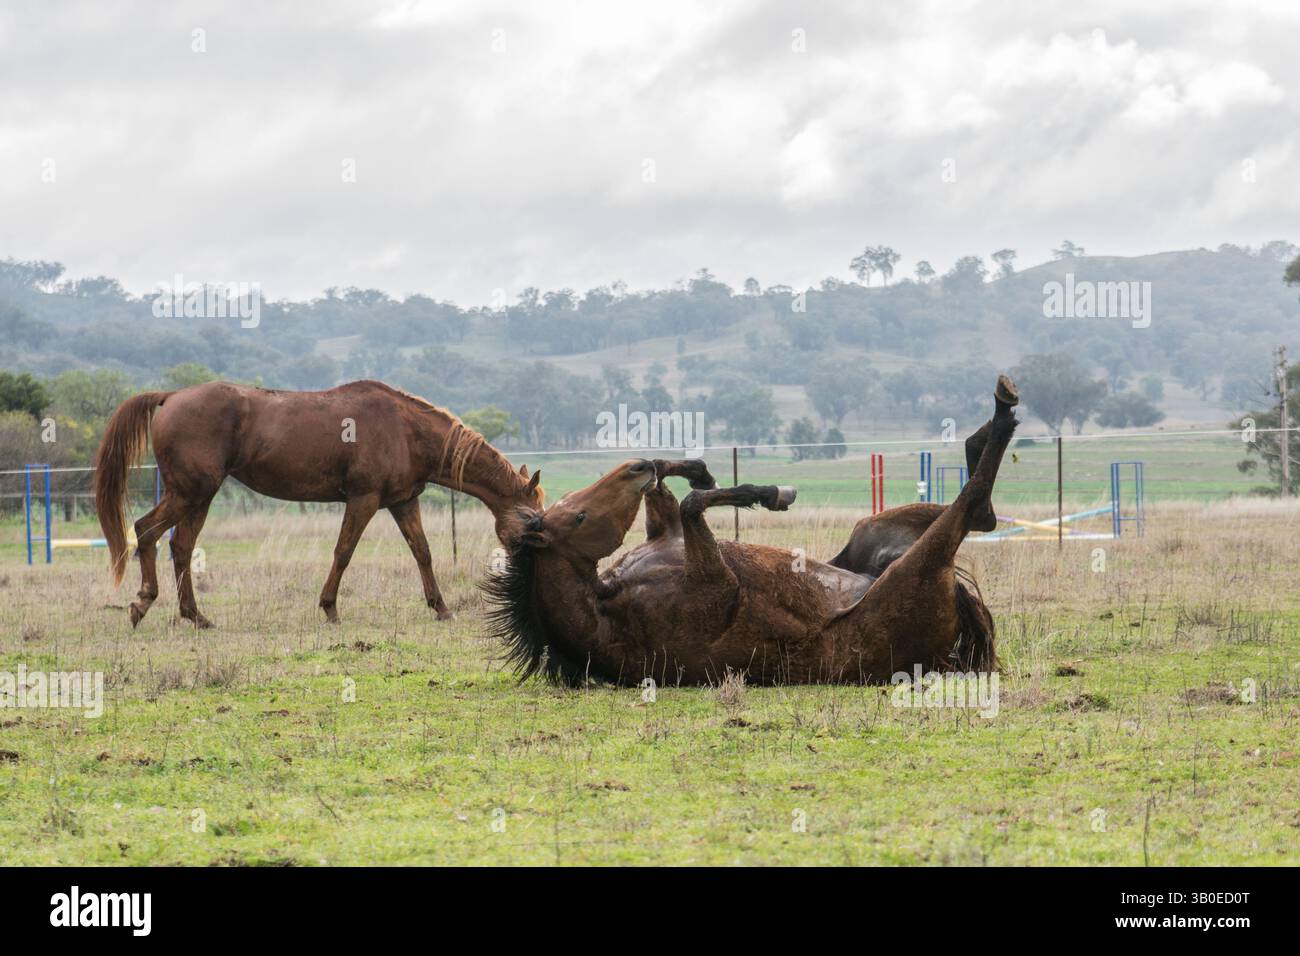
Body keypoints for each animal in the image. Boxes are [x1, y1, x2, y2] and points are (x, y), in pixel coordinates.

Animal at [93, 379, 543, 628]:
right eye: (533, 522)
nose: (525, 576)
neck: (405, 428)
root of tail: (170, 397)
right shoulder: (363, 500)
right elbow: (344, 552)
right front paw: (329, 609)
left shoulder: (402, 503)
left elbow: (423, 553)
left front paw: (442, 608)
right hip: (190, 493)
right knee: (146, 532)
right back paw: (142, 603)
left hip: (198, 498)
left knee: (180, 546)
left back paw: (195, 616)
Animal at [483, 375, 1019, 686]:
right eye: (577, 517)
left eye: (575, 504)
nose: (633, 469)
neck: (609, 605)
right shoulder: (718, 584)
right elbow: (694, 505)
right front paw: (763, 492)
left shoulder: (668, 535)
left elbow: (679, 495)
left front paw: (697, 470)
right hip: (920, 564)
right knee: (971, 503)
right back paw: (1002, 410)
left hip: (876, 529)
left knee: (984, 515)